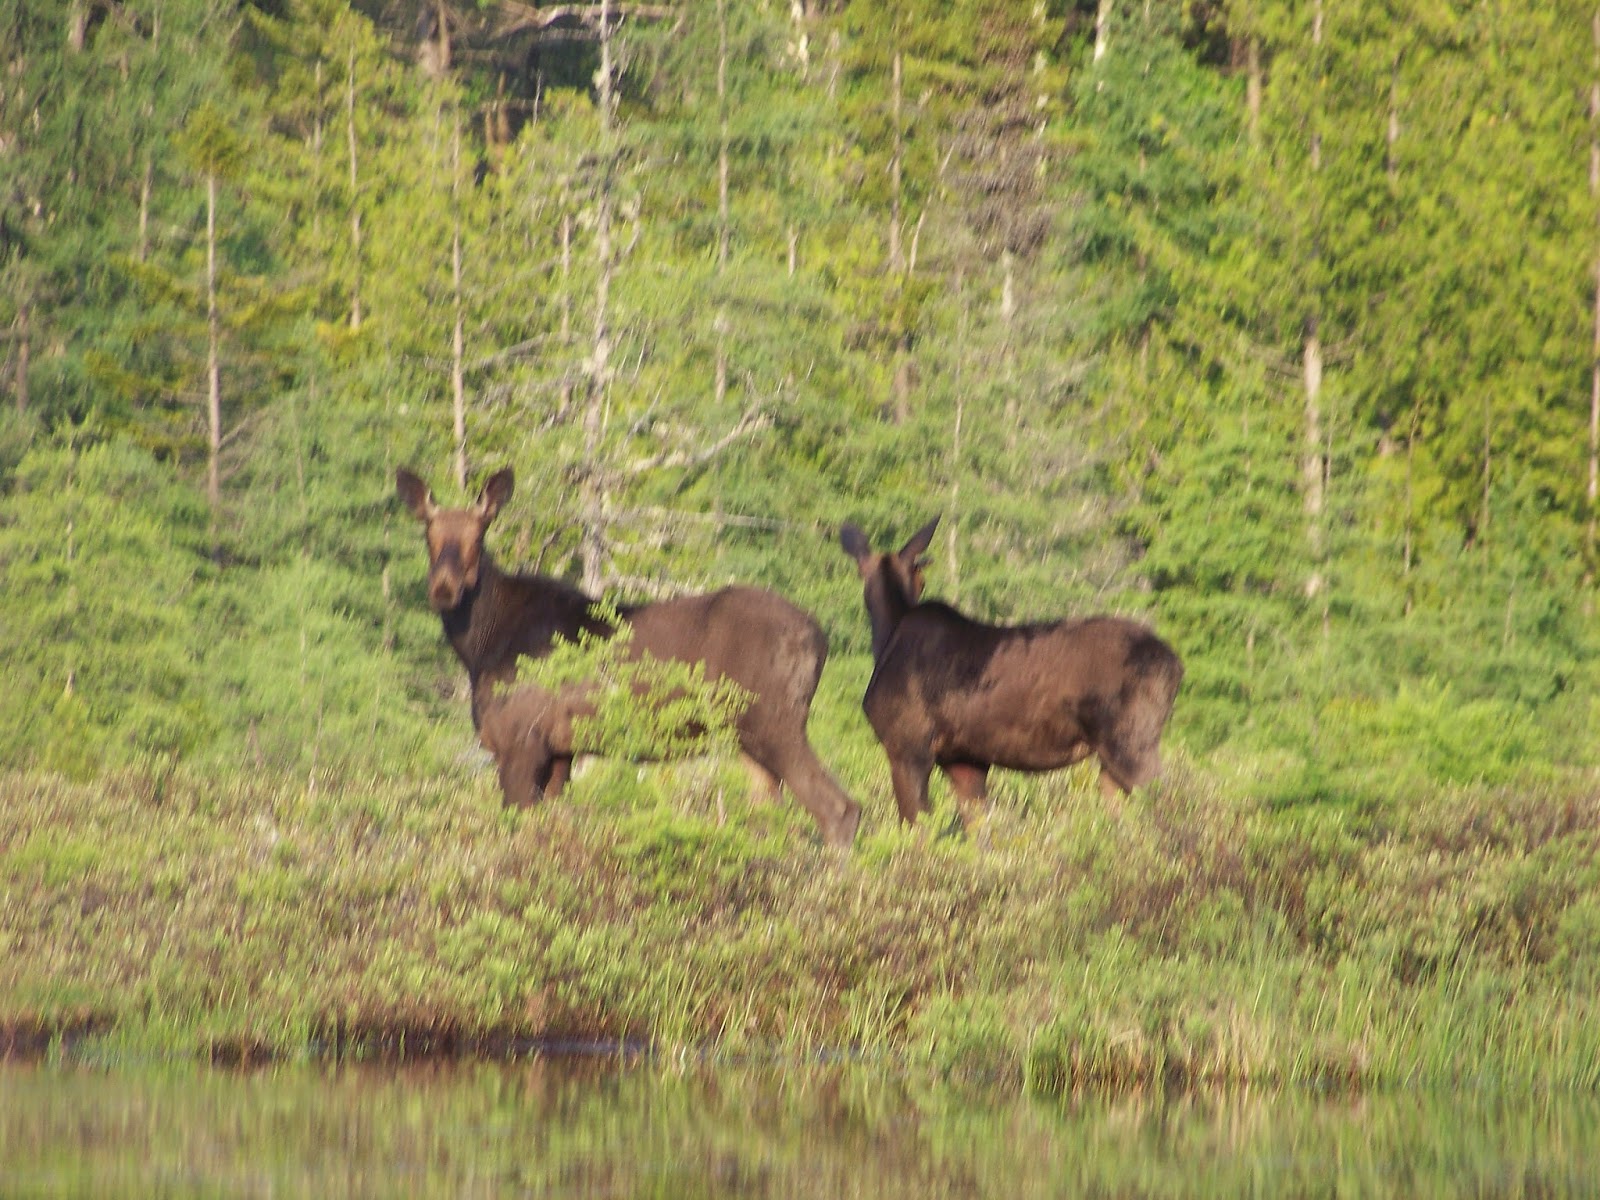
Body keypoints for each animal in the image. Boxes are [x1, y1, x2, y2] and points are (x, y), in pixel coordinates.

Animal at [396, 466, 861, 848]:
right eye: (428, 535)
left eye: (479, 535)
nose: (443, 589)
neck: (481, 648)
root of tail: (820, 639)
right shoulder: (561, 750)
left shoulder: (520, 740)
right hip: (747, 736)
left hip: (772, 721)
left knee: (840, 808)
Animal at [839, 517, 1183, 827]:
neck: (888, 634)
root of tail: (1177, 666)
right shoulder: (965, 760)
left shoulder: (907, 746)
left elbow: (915, 829)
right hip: (1112, 758)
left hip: (1131, 742)